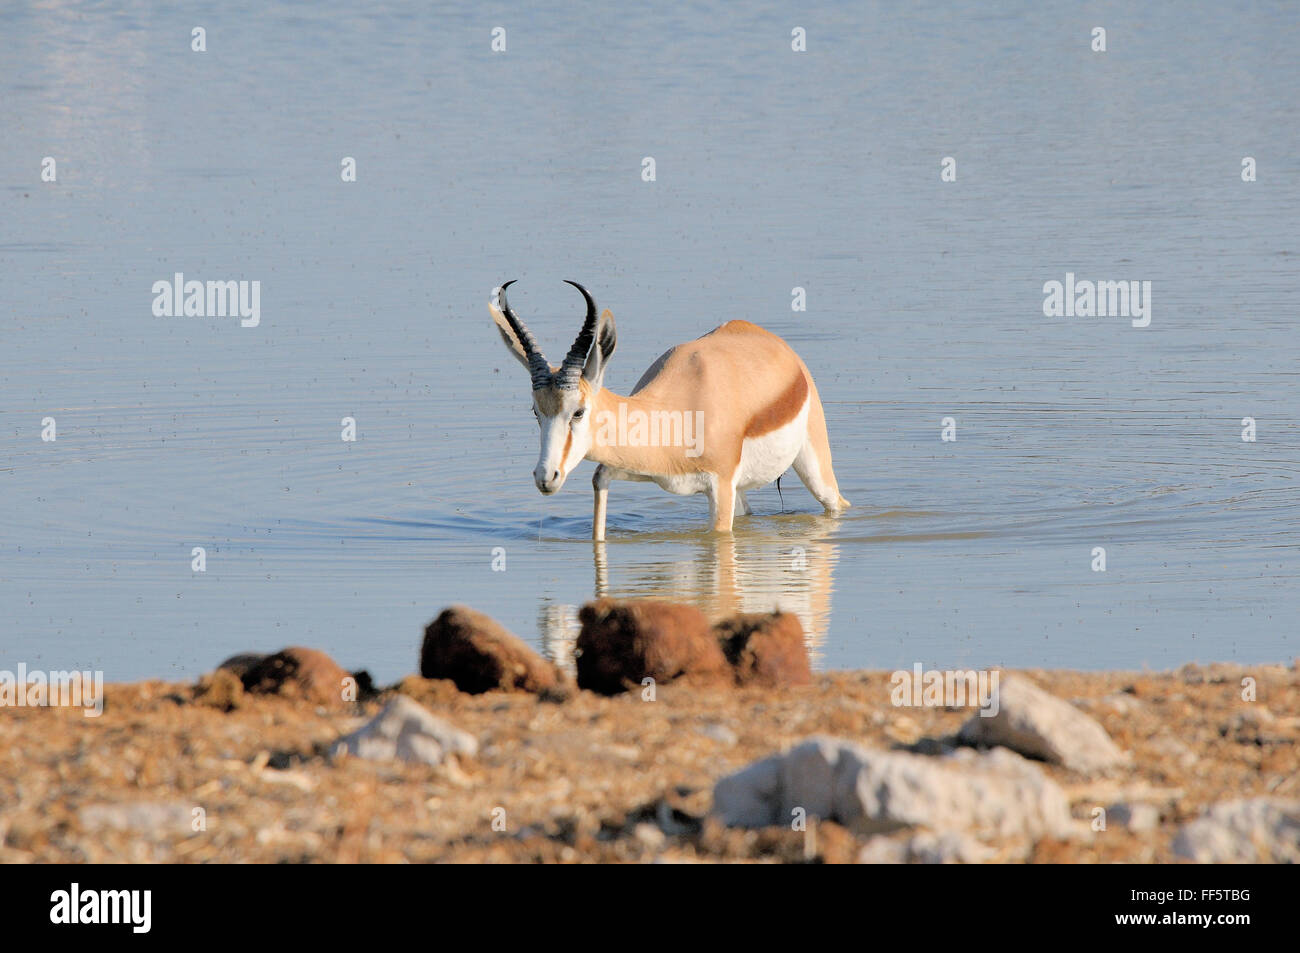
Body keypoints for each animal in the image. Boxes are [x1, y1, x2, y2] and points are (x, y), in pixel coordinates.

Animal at [489, 280, 849, 541]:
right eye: (536, 411)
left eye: (578, 411)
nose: (546, 477)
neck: (674, 416)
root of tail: (772, 341)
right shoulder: (611, 472)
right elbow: (598, 531)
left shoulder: (720, 489)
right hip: (740, 492)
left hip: (814, 470)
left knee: (836, 504)